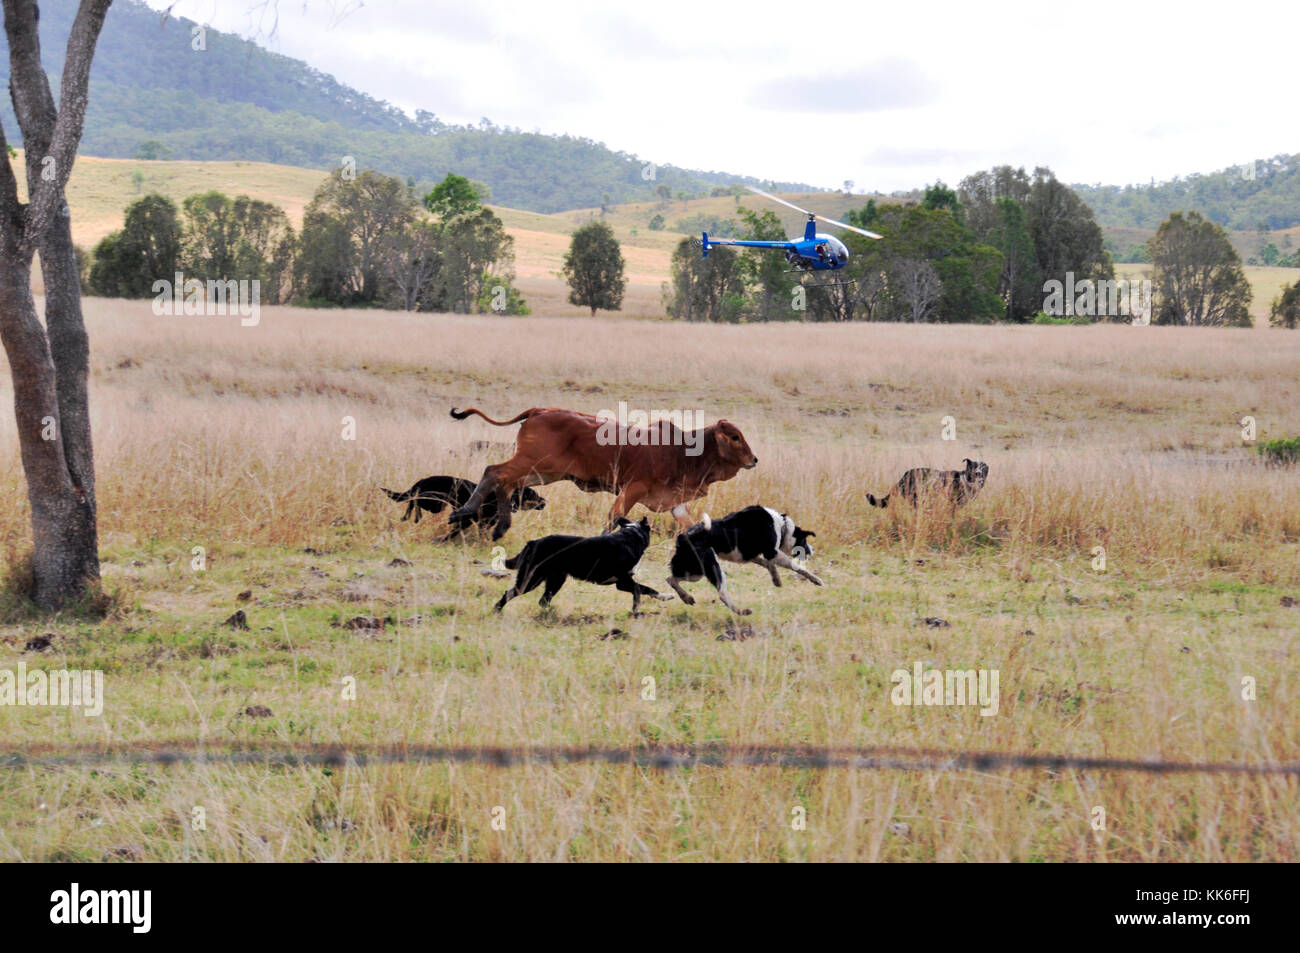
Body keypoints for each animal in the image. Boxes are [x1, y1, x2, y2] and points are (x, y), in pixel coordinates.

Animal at [446, 406, 758, 540]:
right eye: (734, 437)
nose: (753, 460)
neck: (683, 451)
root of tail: (539, 410)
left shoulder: (674, 502)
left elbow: (690, 525)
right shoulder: (633, 488)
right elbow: (613, 516)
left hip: (543, 471)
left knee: (505, 483)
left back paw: (499, 526)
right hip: (532, 463)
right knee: (495, 472)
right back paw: (466, 512)